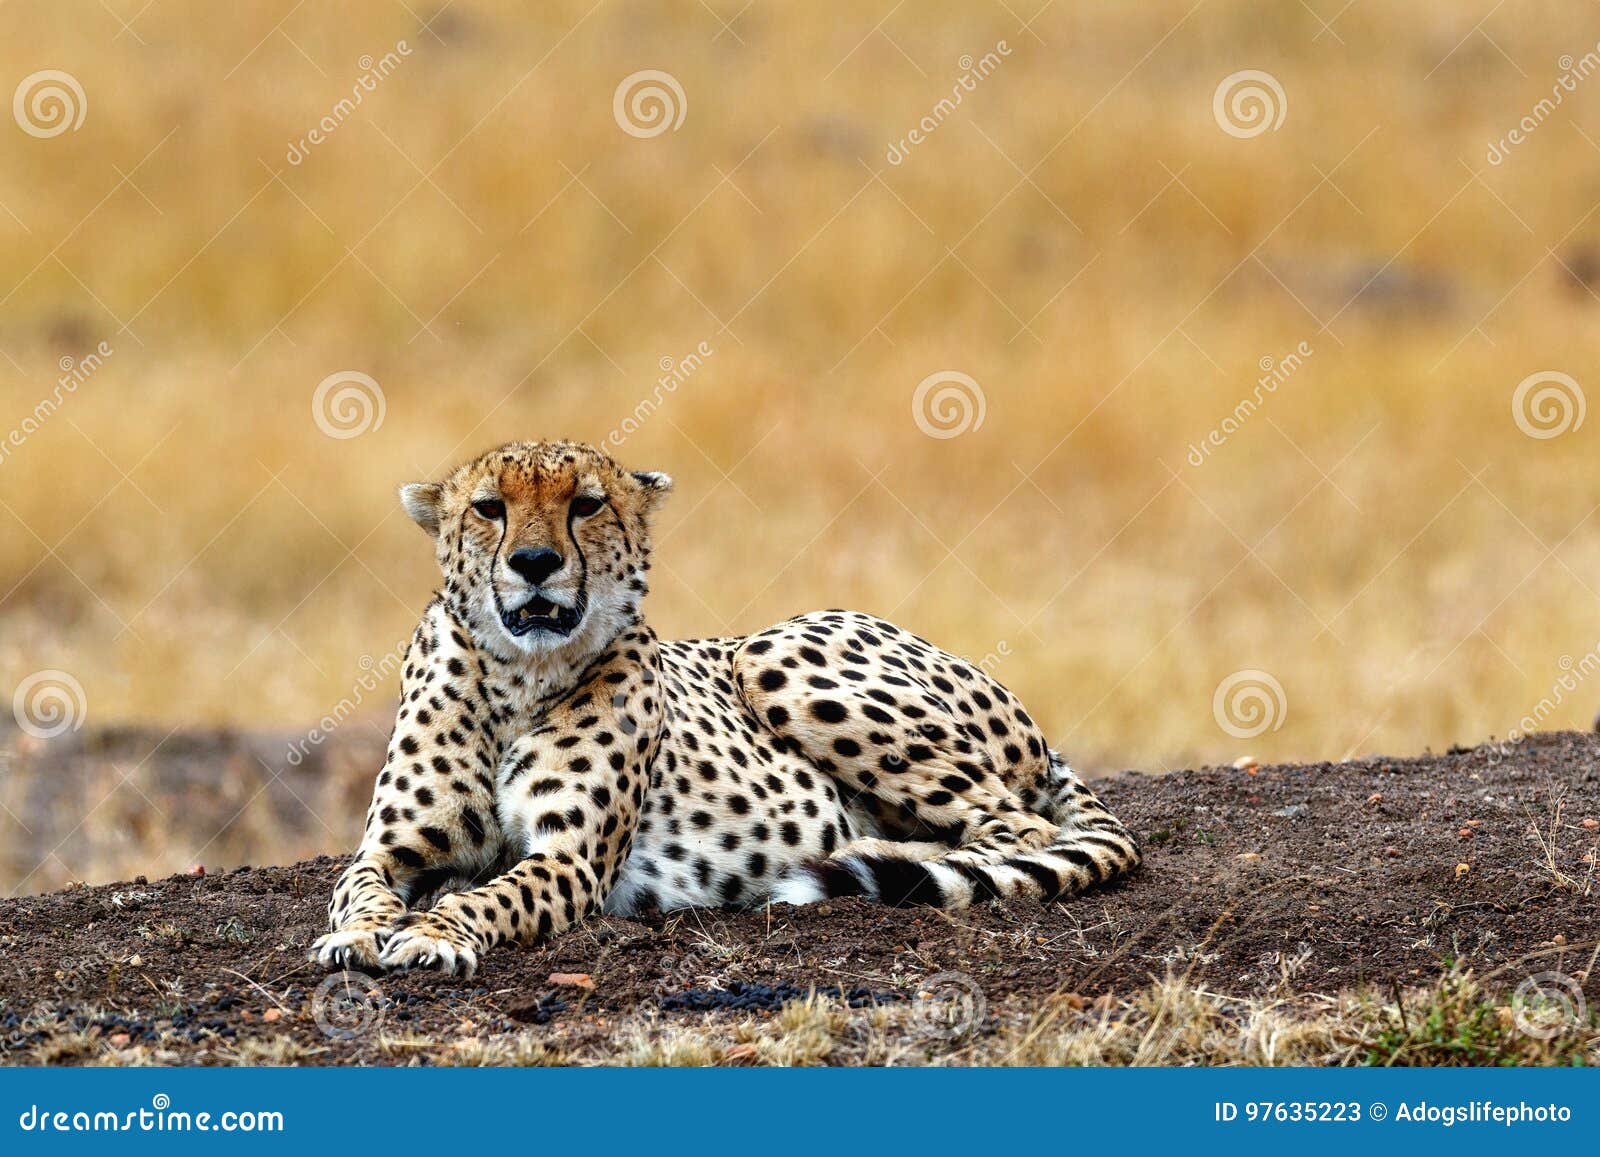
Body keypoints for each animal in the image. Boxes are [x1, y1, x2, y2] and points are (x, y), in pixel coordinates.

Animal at [311, 439, 1140, 977]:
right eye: (489, 508)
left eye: (587, 505)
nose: (535, 563)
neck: (520, 674)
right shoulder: (389, 847)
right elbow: (357, 887)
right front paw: (361, 934)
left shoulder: (570, 857)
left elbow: (495, 893)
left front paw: (435, 930)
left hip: (774, 655)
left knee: (1014, 829)